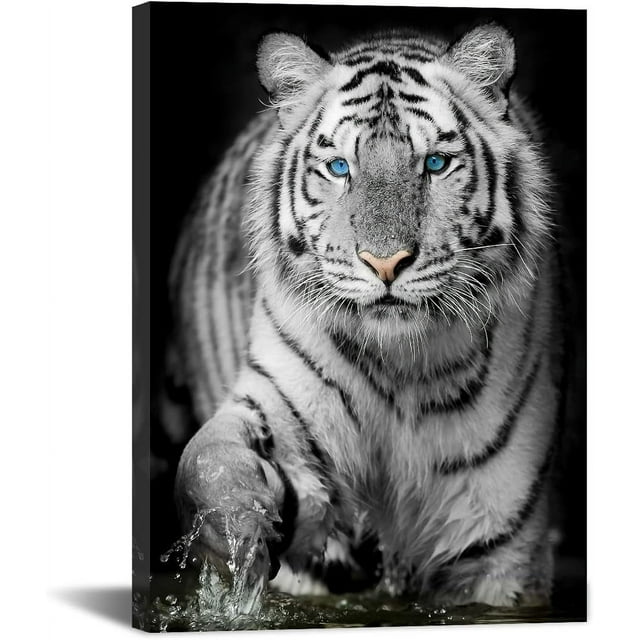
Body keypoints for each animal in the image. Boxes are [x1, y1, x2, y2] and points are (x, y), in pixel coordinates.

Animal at [170, 24, 564, 608]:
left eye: (435, 164)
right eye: (339, 168)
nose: (385, 263)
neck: (401, 367)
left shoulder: (501, 547)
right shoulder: (280, 405)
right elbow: (208, 458)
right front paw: (237, 527)